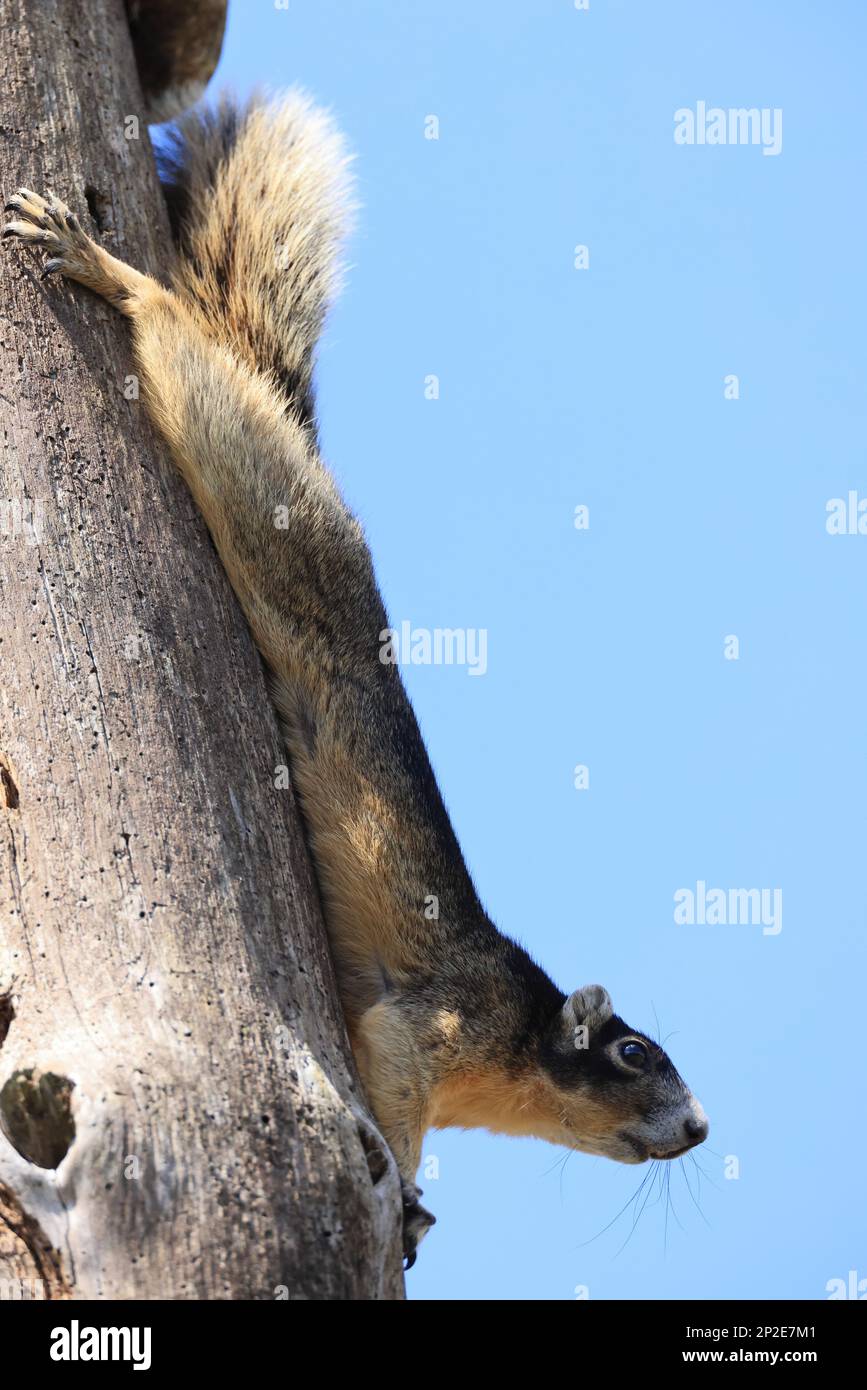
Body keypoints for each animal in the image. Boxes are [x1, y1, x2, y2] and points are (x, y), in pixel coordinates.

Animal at [3, 92, 708, 1267]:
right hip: (254, 481)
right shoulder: (429, 1025)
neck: (514, 1053)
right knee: (182, 342)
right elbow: (392, 1084)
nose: (702, 1129)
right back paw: (101, 265)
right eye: (634, 1054)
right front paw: (410, 1196)